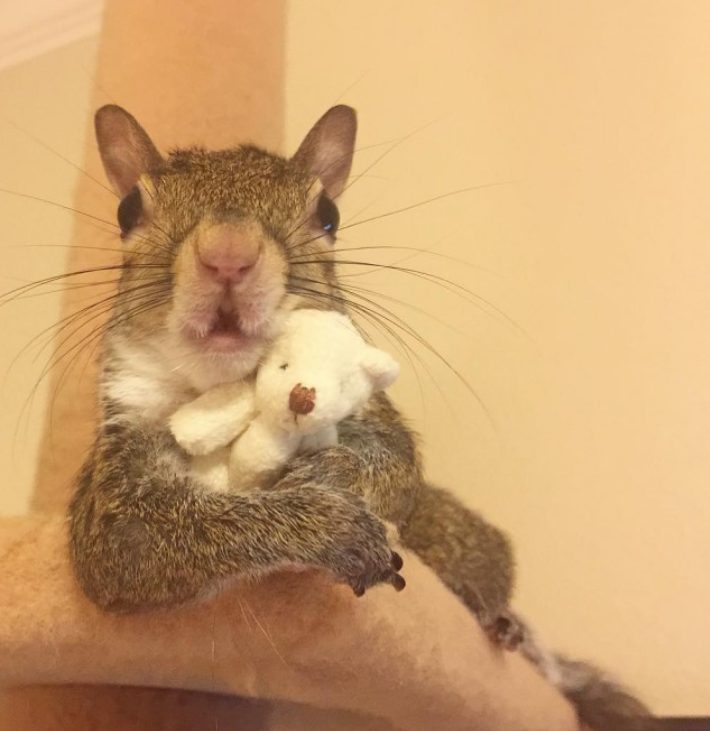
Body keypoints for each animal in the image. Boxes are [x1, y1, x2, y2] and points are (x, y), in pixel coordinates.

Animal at [68, 104, 655, 731]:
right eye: (129, 209)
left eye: (328, 214)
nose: (228, 253)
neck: (221, 388)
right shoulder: (109, 497)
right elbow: (145, 540)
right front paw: (326, 525)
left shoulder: (378, 421)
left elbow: (392, 464)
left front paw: (329, 473)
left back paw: (509, 629)